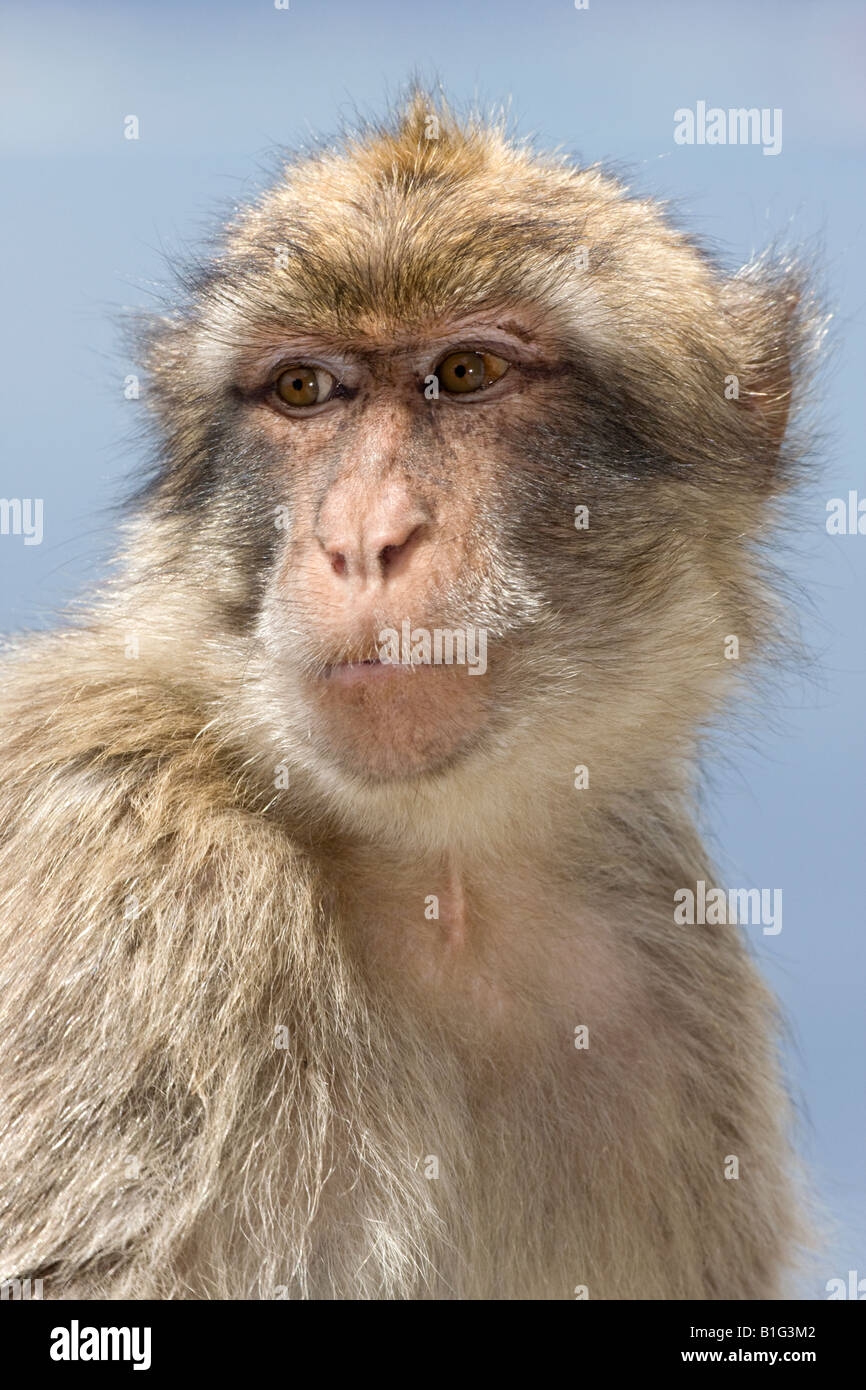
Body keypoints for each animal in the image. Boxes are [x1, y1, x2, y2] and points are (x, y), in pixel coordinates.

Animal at [0, 91, 822, 1301]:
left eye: (467, 372)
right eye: (304, 389)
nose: (360, 536)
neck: (440, 877)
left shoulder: (673, 977)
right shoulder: (137, 884)